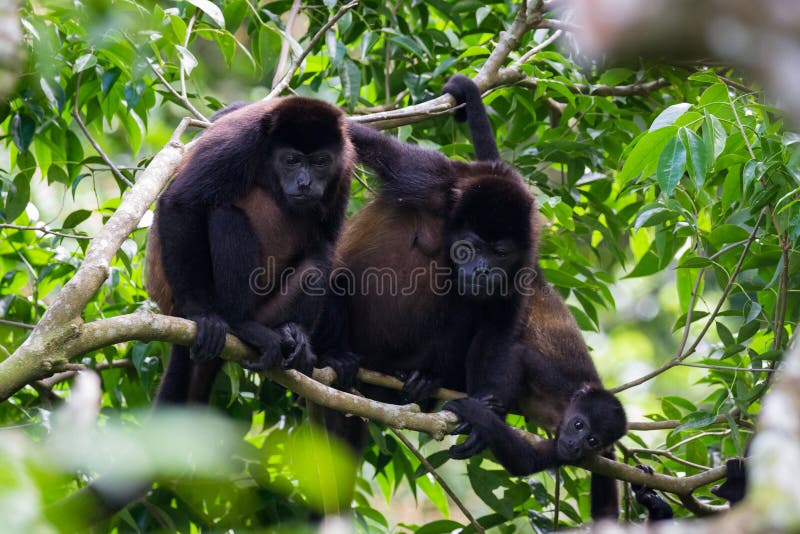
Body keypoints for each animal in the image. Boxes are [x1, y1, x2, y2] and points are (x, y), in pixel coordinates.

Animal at [145, 97, 357, 406]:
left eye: (321, 162)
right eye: (291, 160)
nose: (305, 183)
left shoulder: (344, 167)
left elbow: (330, 238)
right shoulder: (239, 142)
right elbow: (180, 201)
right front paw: (200, 313)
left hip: (269, 311)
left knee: (321, 250)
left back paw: (292, 333)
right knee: (224, 215)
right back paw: (239, 324)